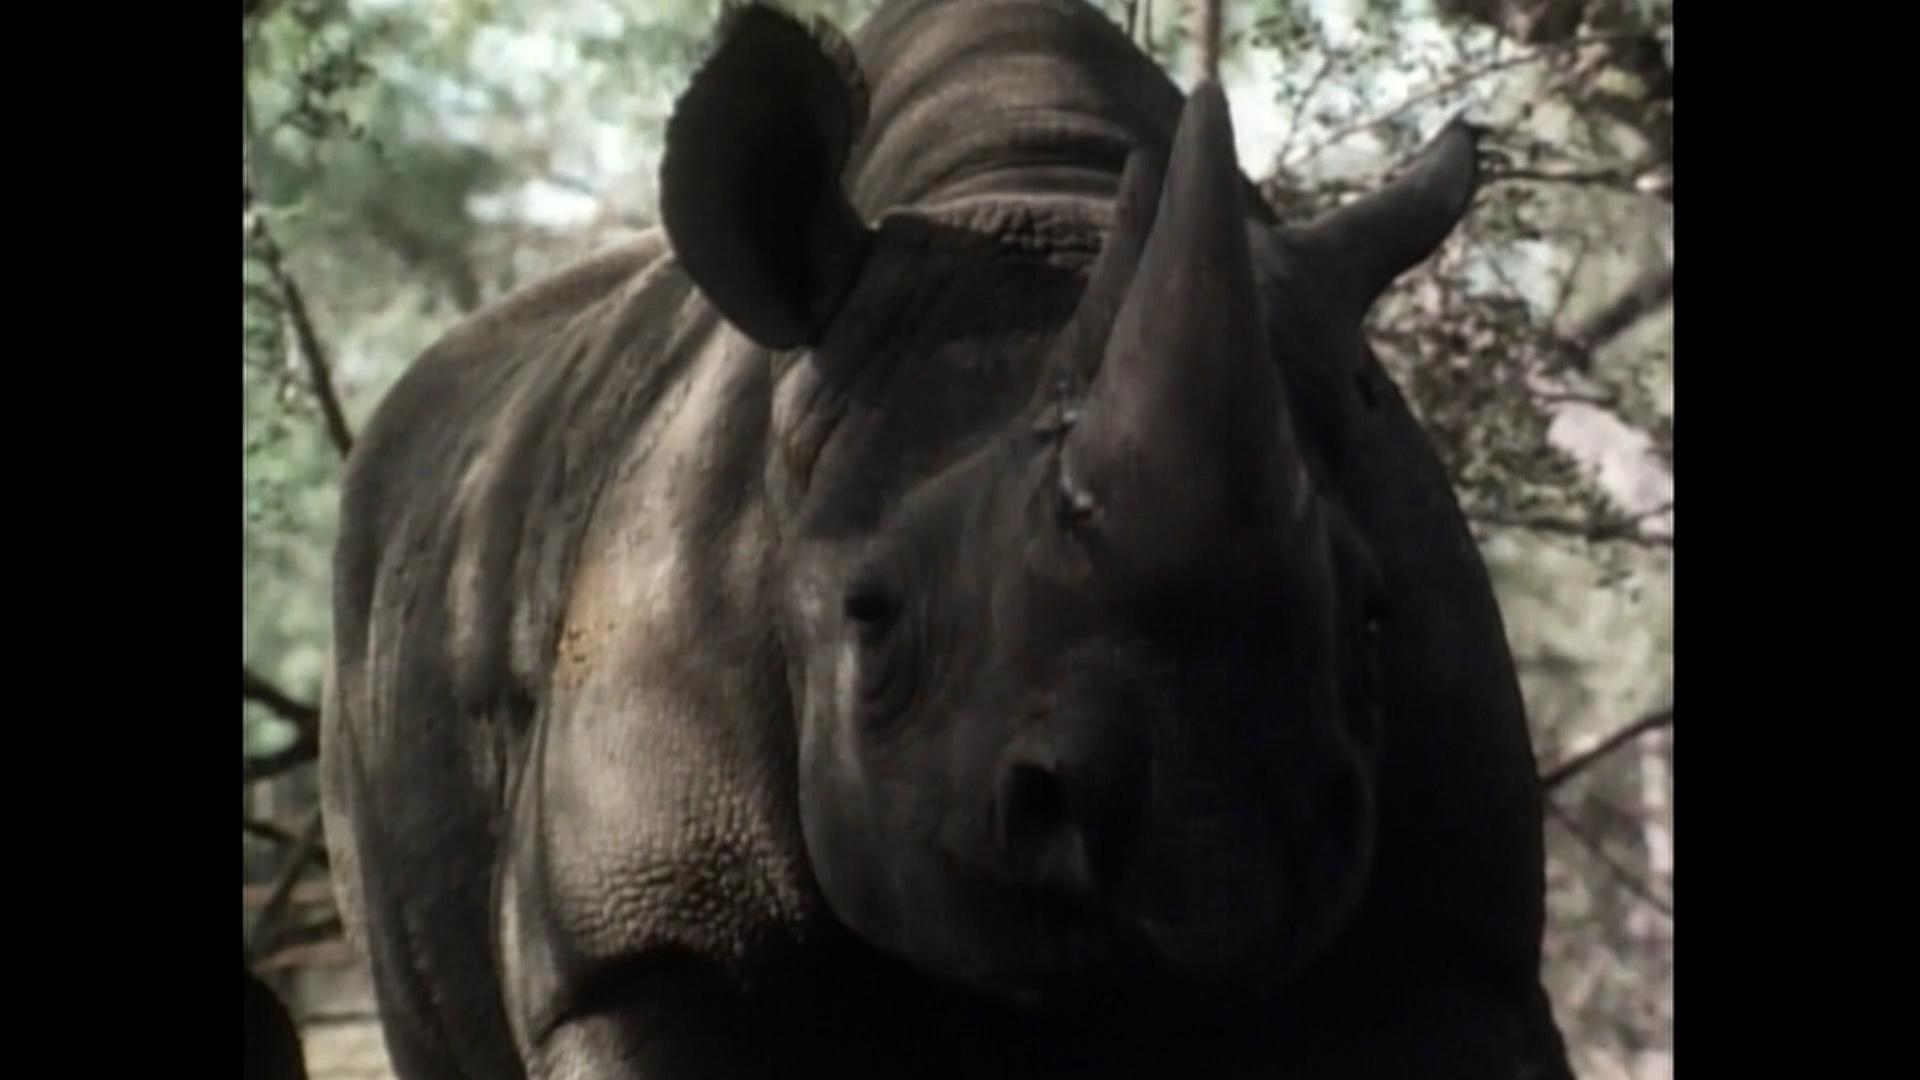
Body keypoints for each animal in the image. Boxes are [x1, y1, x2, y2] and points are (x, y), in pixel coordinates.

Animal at [319, 1, 1575, 1076]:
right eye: (869, 617)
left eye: (1373, 616)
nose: (1204, 837)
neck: (1033, 183)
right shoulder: (638, 949)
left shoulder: (1455, 949)